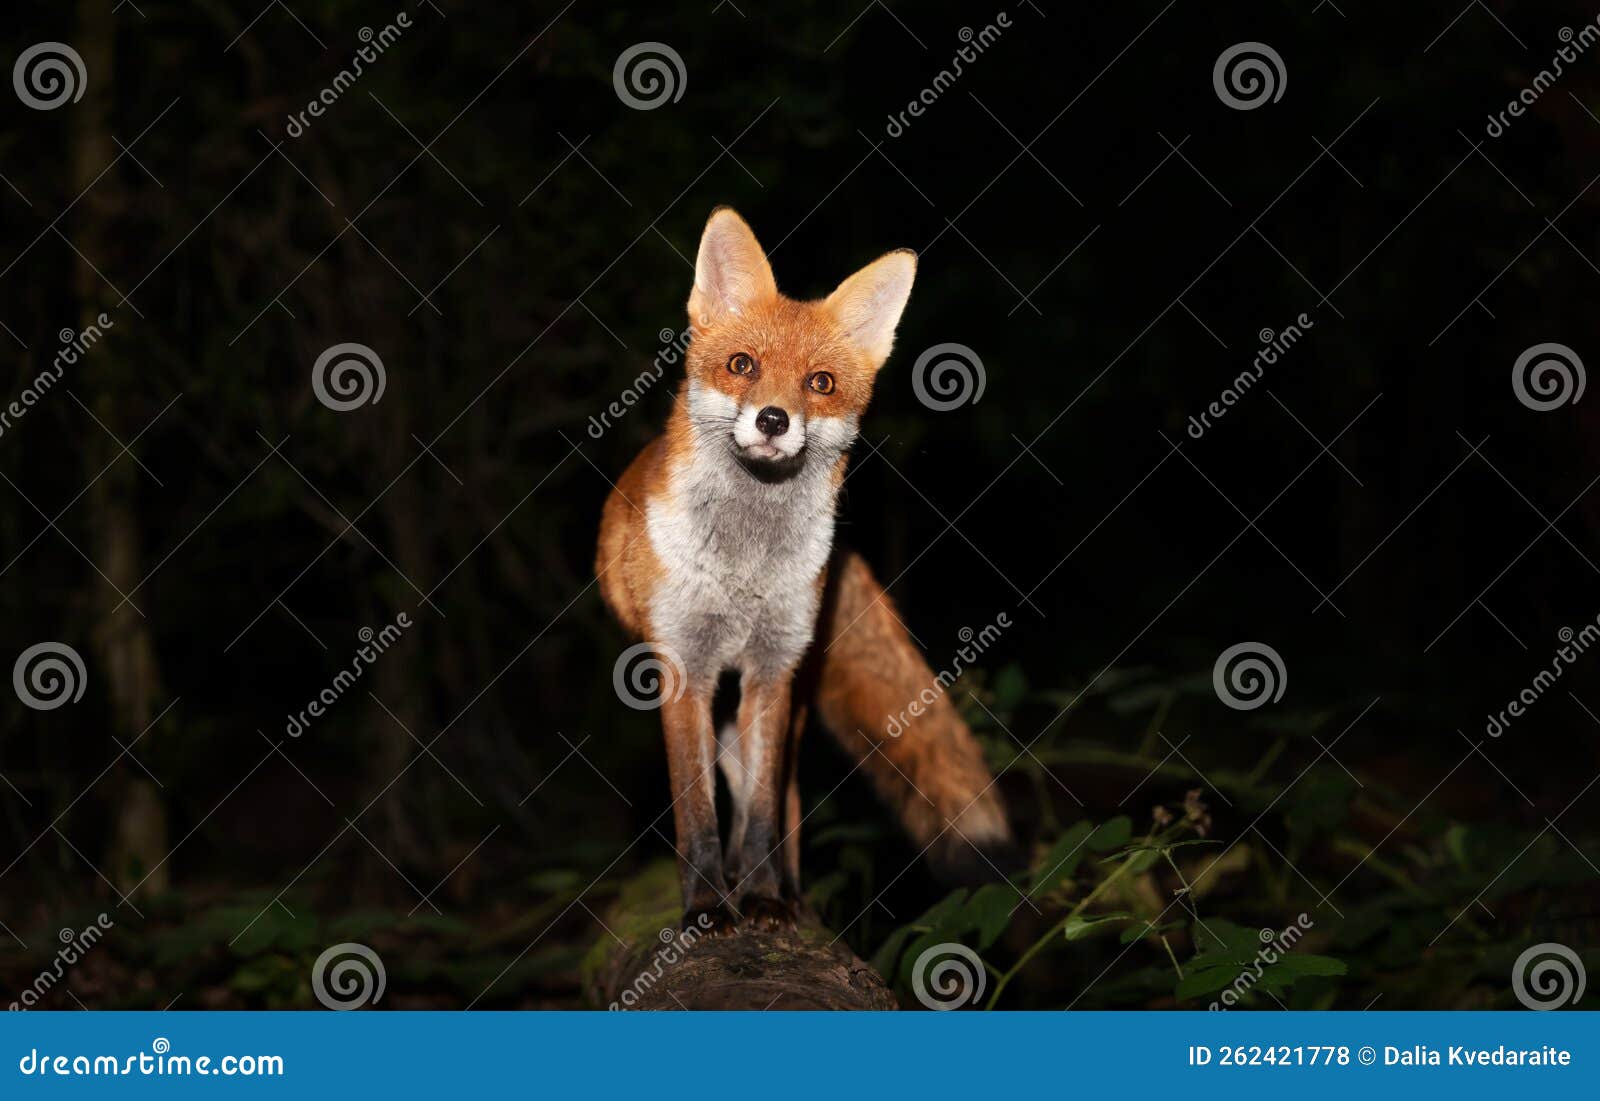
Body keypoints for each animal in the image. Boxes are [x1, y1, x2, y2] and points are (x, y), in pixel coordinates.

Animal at [596, 207, 1018, 933]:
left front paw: (763, 897)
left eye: (819, 383)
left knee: (779, 798)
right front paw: (706, 906)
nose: (773, 419)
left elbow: (765, 810)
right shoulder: (684, 668)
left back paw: (784, 889)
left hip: (786, 698)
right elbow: (696, 813)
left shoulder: (773, 668)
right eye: (742, 365)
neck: (744, 569)